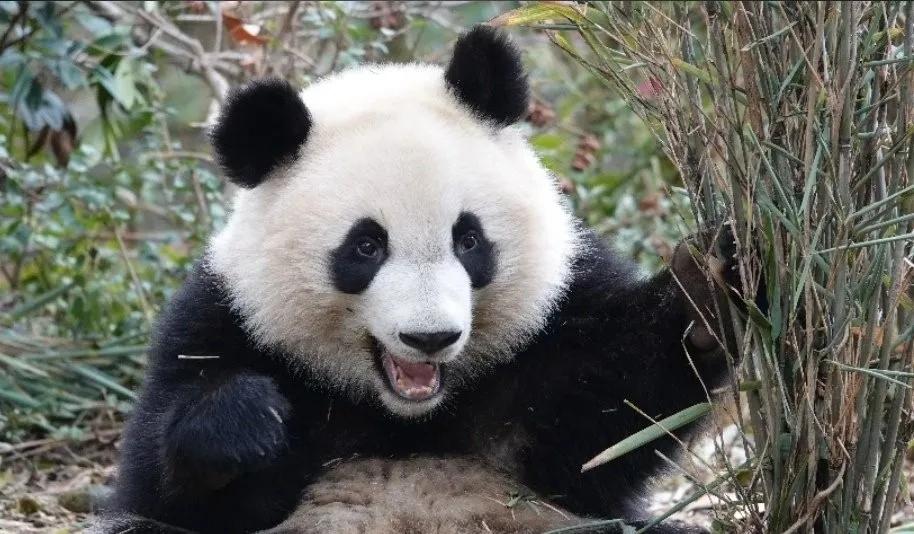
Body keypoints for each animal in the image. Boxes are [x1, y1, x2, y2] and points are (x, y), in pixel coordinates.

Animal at [101, 26, 740, 534]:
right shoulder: (225, 322)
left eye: (468, 239)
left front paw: (707, 289)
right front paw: (246, 420)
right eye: (365, 246)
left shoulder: (557, 316)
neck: (406, 417)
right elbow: (160, 490)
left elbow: (612, 423)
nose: (429, 338)